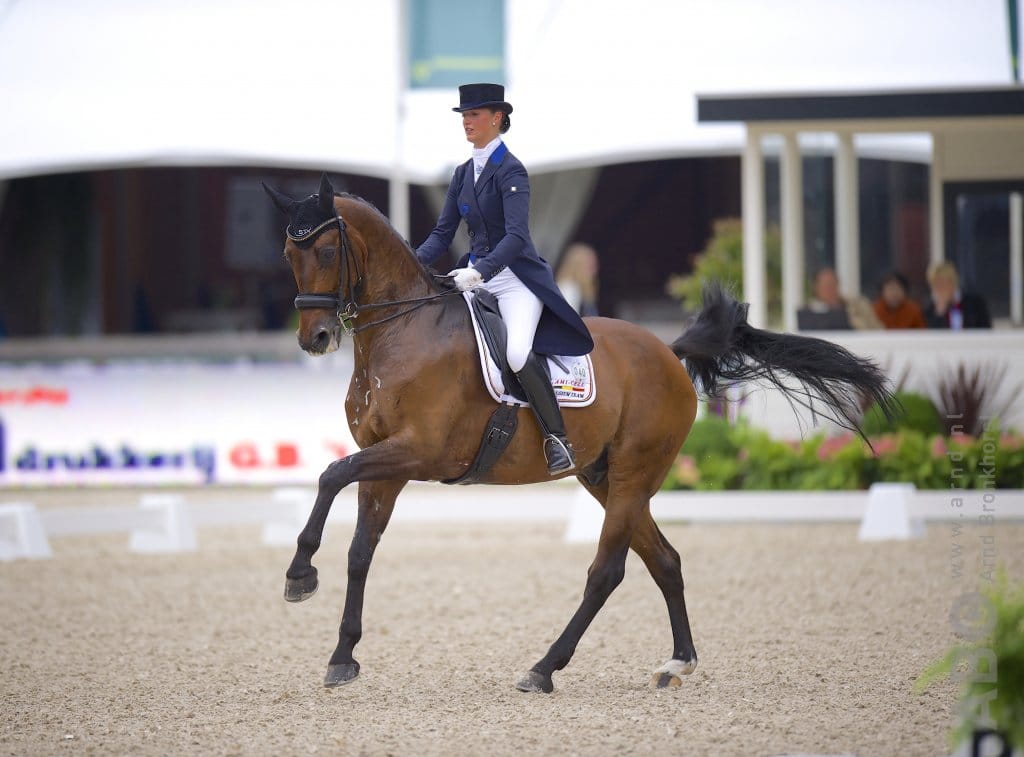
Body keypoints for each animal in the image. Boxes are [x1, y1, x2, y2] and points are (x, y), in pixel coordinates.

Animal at [264, 175, 895, 693]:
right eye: (288, 254)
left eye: (326, 250)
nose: (315, 338)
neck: (400, 332)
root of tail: (666, 351)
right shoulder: (385, 462)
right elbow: (360, 550)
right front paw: (342, 656)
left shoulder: (417, 453)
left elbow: (329, 475)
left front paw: (299, 573)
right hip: (605, 477)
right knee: (664, 559)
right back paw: (678, 663)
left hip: (634, 474)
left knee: (607, 571)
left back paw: (543, 668)